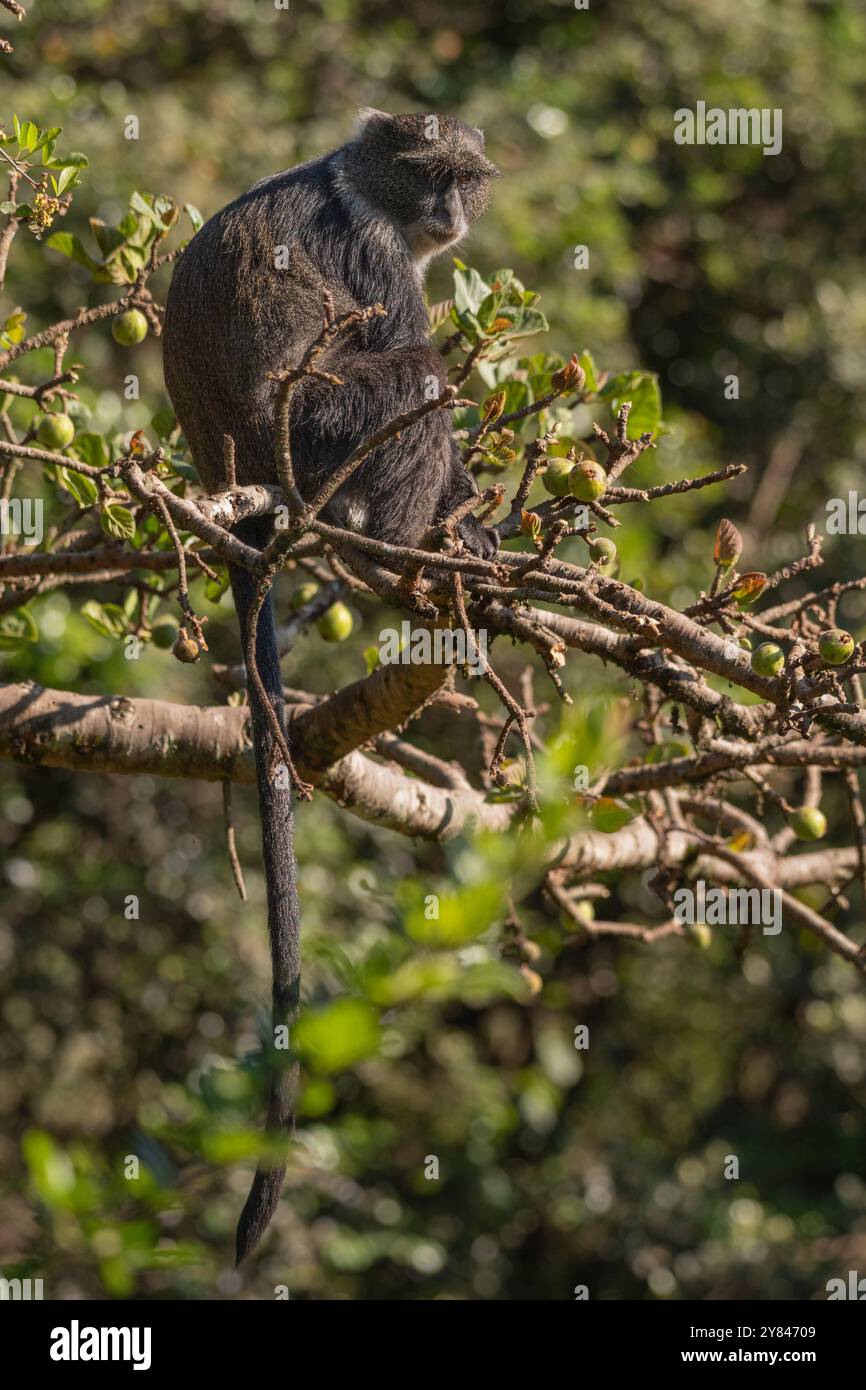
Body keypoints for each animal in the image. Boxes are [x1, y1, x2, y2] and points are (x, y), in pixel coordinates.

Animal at [162, 109, 500, 1263]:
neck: (355, 179)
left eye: (468, 179)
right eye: (429, 174)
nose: (448, 215)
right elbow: (411, 352)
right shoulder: (380, 260)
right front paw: (461, 528)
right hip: (317, 438)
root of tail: (230, 474)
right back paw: (401, 544)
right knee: (419, 376)